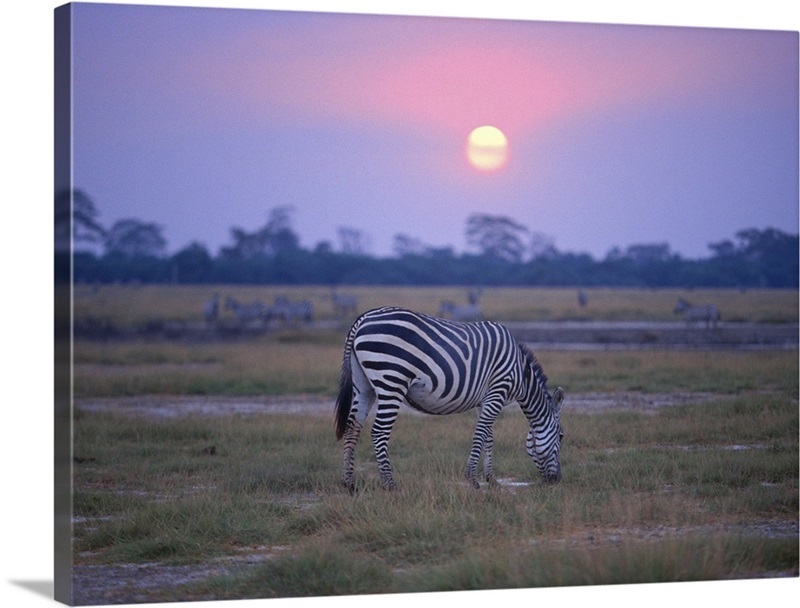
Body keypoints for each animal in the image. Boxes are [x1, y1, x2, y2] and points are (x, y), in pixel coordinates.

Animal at [335, 307, 565, 492]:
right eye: (561, 436)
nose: (556, 480)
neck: (521, 373)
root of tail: (362, 319)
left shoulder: (486, 399)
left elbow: (489, 437)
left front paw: (492, 480)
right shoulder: (497, 391)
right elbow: (480, 434)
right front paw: (473, 479)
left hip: (363, 385)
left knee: (352, 428)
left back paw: (349, 483)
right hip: (392, 380)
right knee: (379, 432)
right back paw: (391, 485)